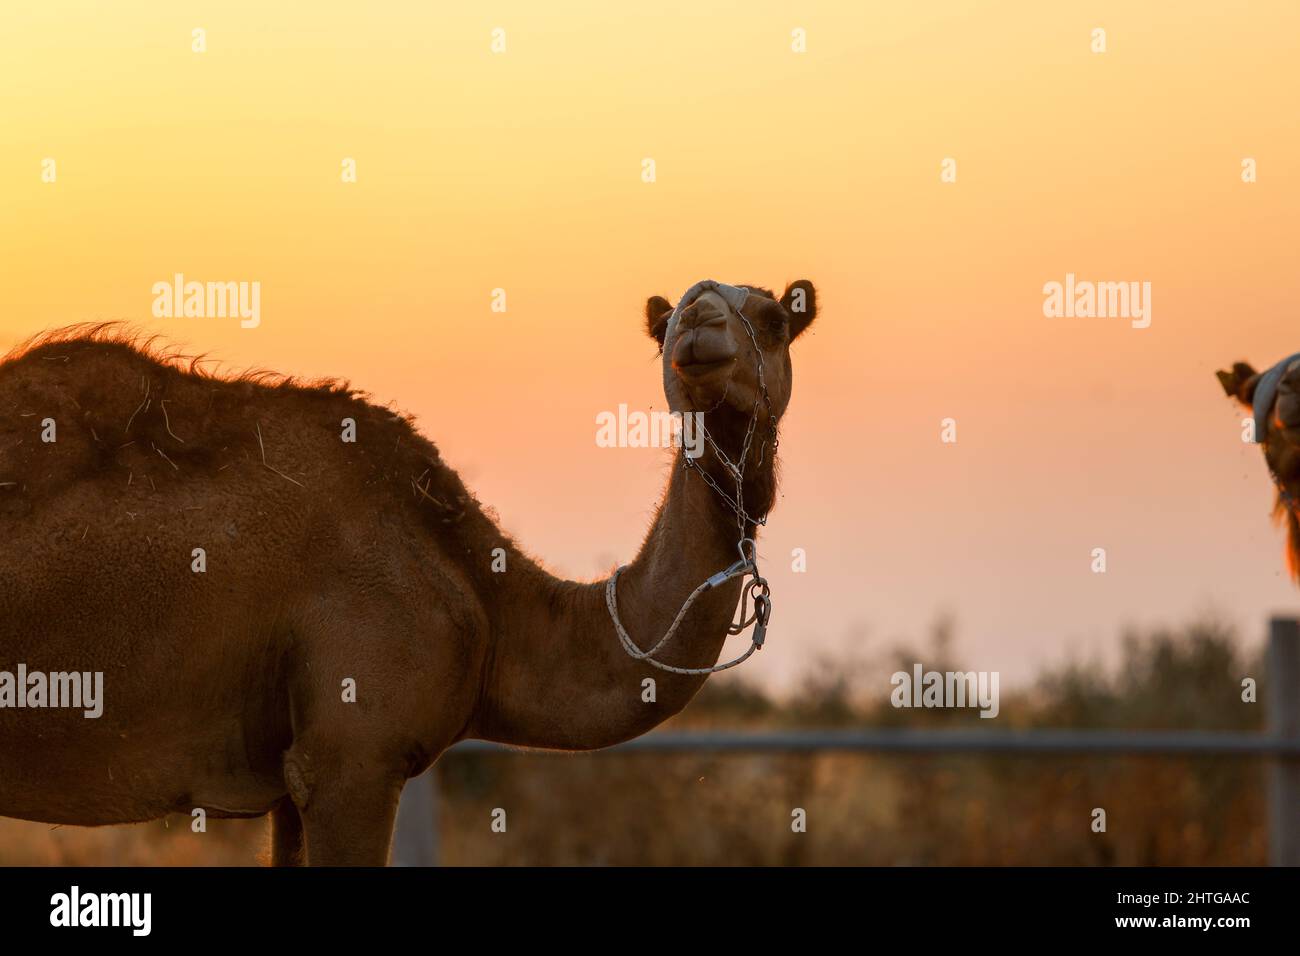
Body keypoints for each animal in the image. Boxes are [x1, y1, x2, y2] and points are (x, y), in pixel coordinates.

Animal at [0, 279, 817, 865]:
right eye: (671, 318)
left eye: (773, 315)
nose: (700, 323)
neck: (487, 598)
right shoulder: (353, 758)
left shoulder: (294, 782)